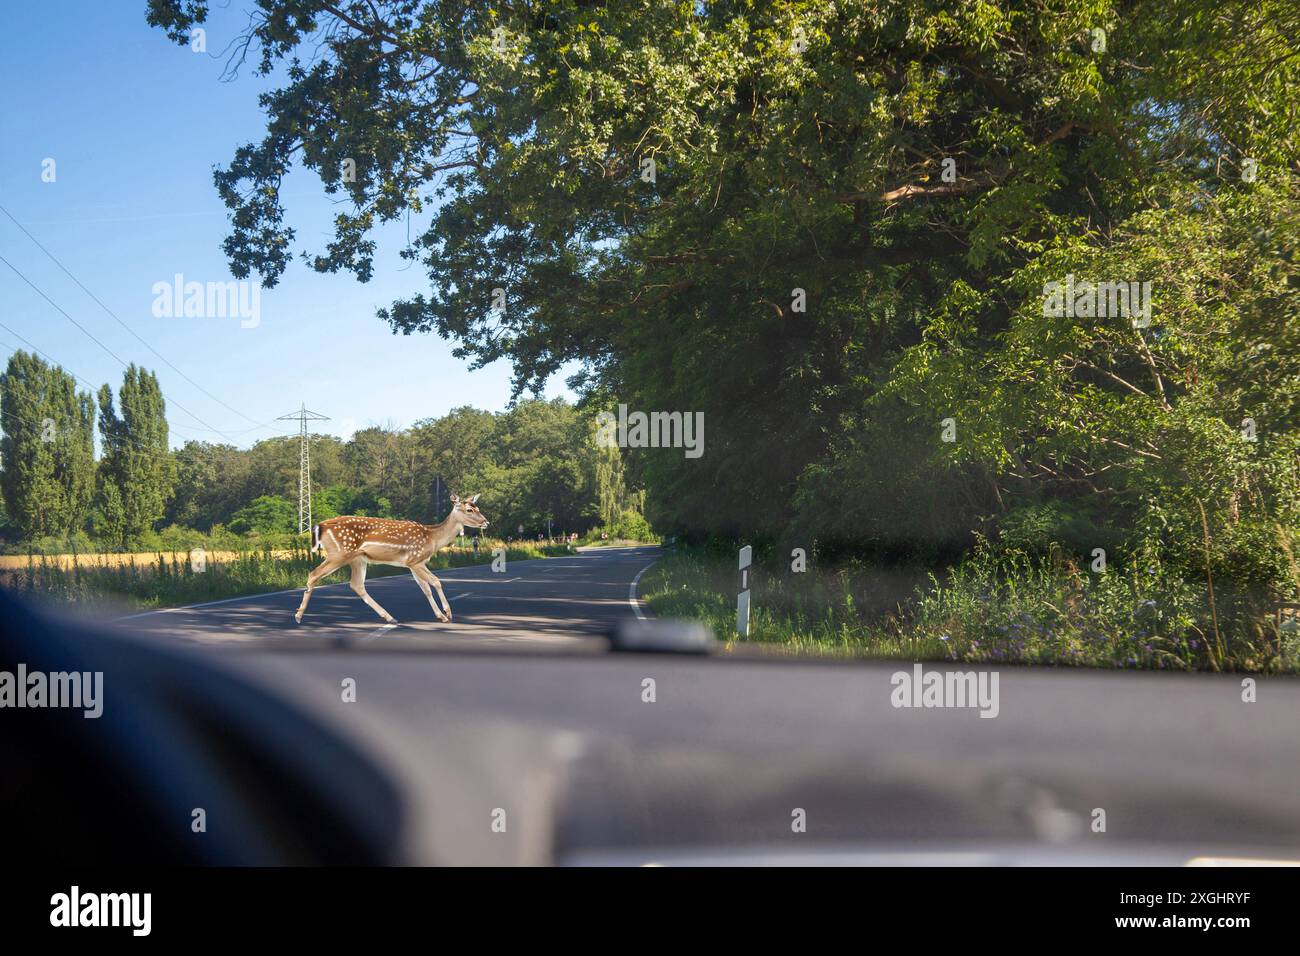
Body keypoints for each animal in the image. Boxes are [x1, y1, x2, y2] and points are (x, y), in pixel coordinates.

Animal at [294, 494, 489, 625]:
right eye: (469, 509)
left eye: (478, 508)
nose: (486, 522)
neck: (432, 538)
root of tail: (320, 526)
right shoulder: (415, 559)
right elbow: (436, 582)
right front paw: (447, 613)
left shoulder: (414, 563)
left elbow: (425, 589)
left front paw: (440, 615)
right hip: (339, 553)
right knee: (313, 574)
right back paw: (298, 616)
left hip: (358, 559)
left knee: (356, 585)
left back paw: (389, 617)